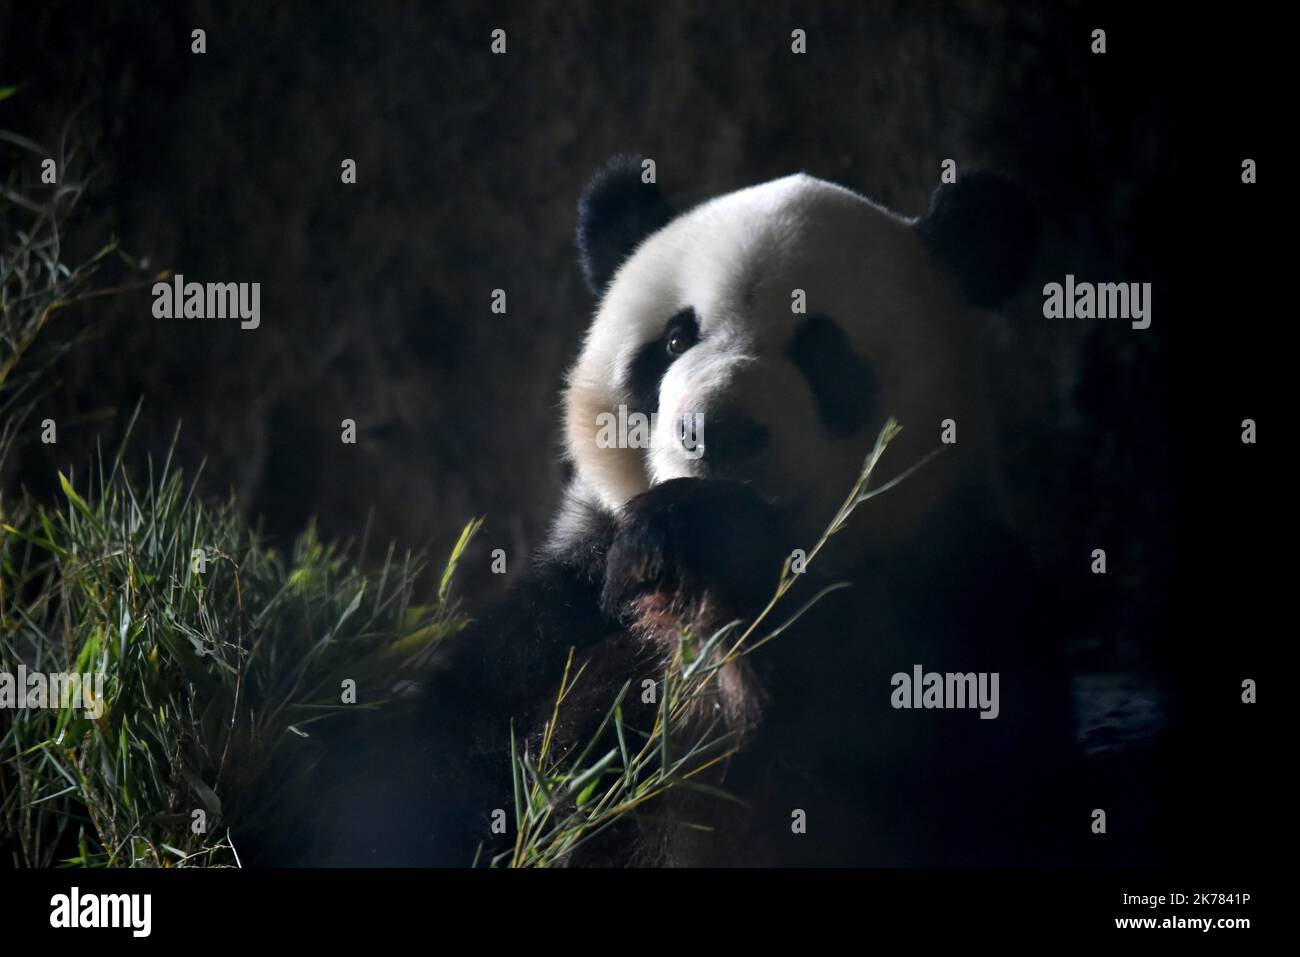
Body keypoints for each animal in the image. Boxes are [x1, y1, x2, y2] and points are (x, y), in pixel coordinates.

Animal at [306, 156, 1077, 868]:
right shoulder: (571, 601)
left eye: (825, 354)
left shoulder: (962, 598)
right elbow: (458, 758)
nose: (719, 430)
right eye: (676, 340)